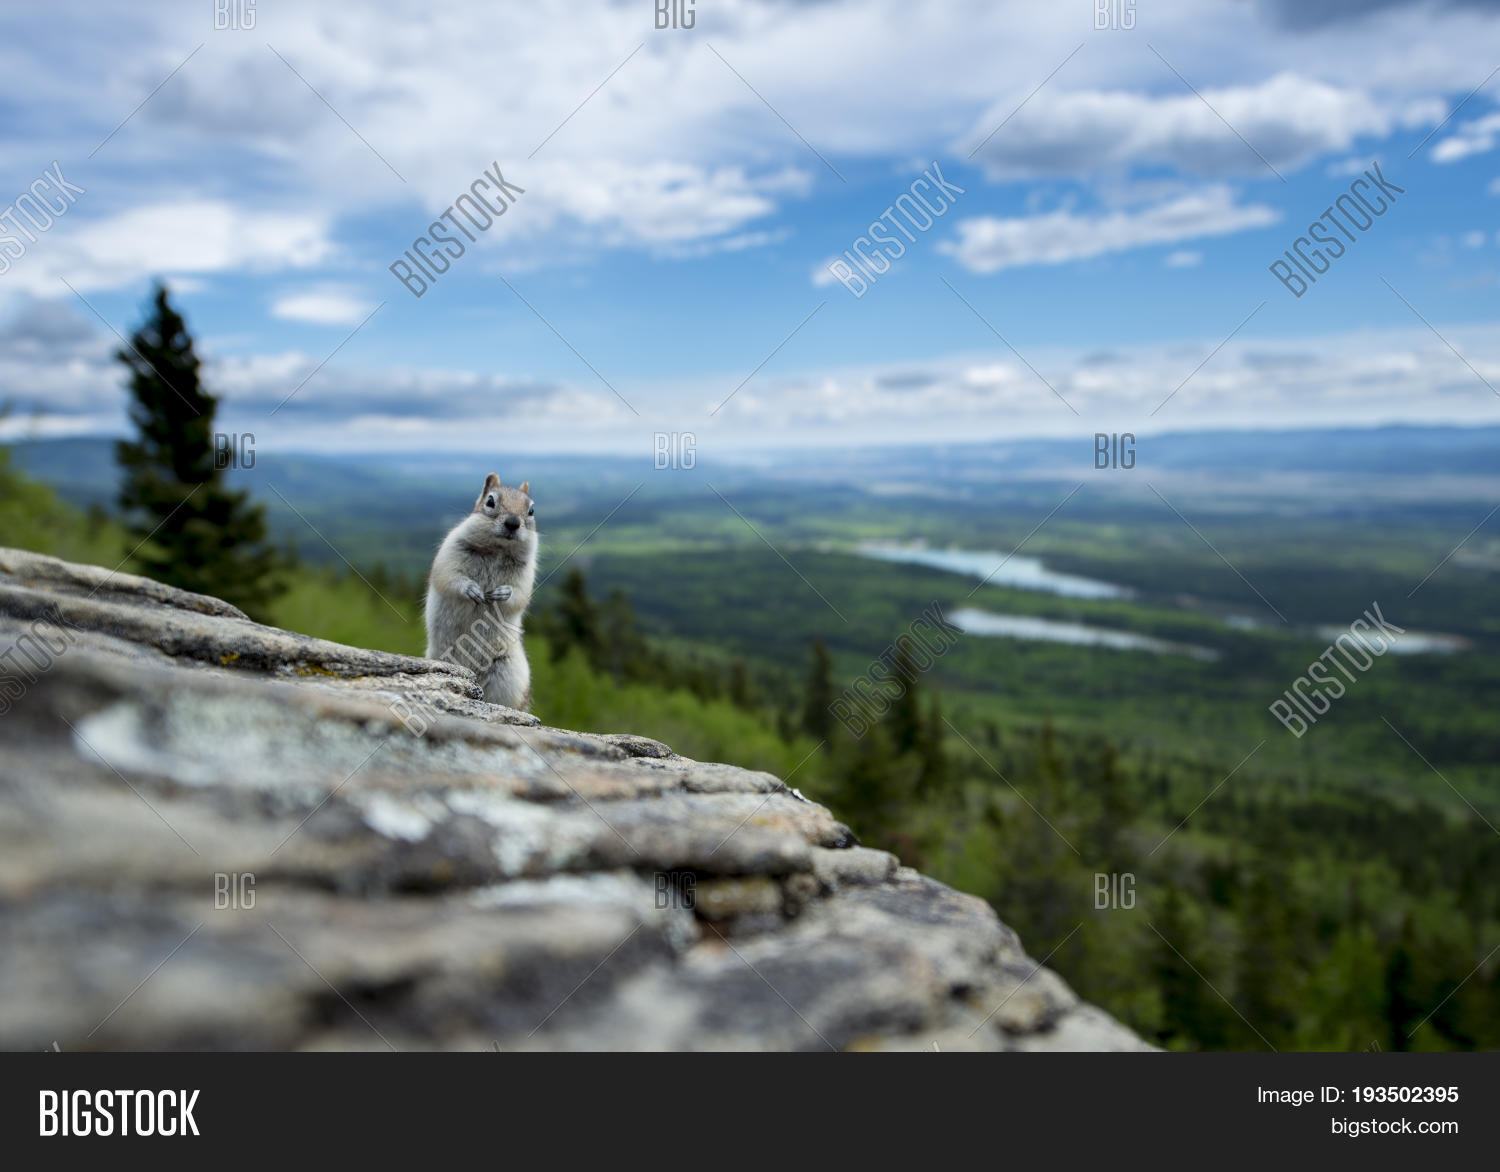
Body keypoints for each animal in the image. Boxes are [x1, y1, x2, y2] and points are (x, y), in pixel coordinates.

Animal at [424, 473, 538, 712]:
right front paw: (472, 590)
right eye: (490, 501)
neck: (498, 548)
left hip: (508, 675)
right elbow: (449, 576)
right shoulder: (450, 554)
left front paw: (503, 593)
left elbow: (520, 594)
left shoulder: (527, 574)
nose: (513, 523)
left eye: (531, 510)